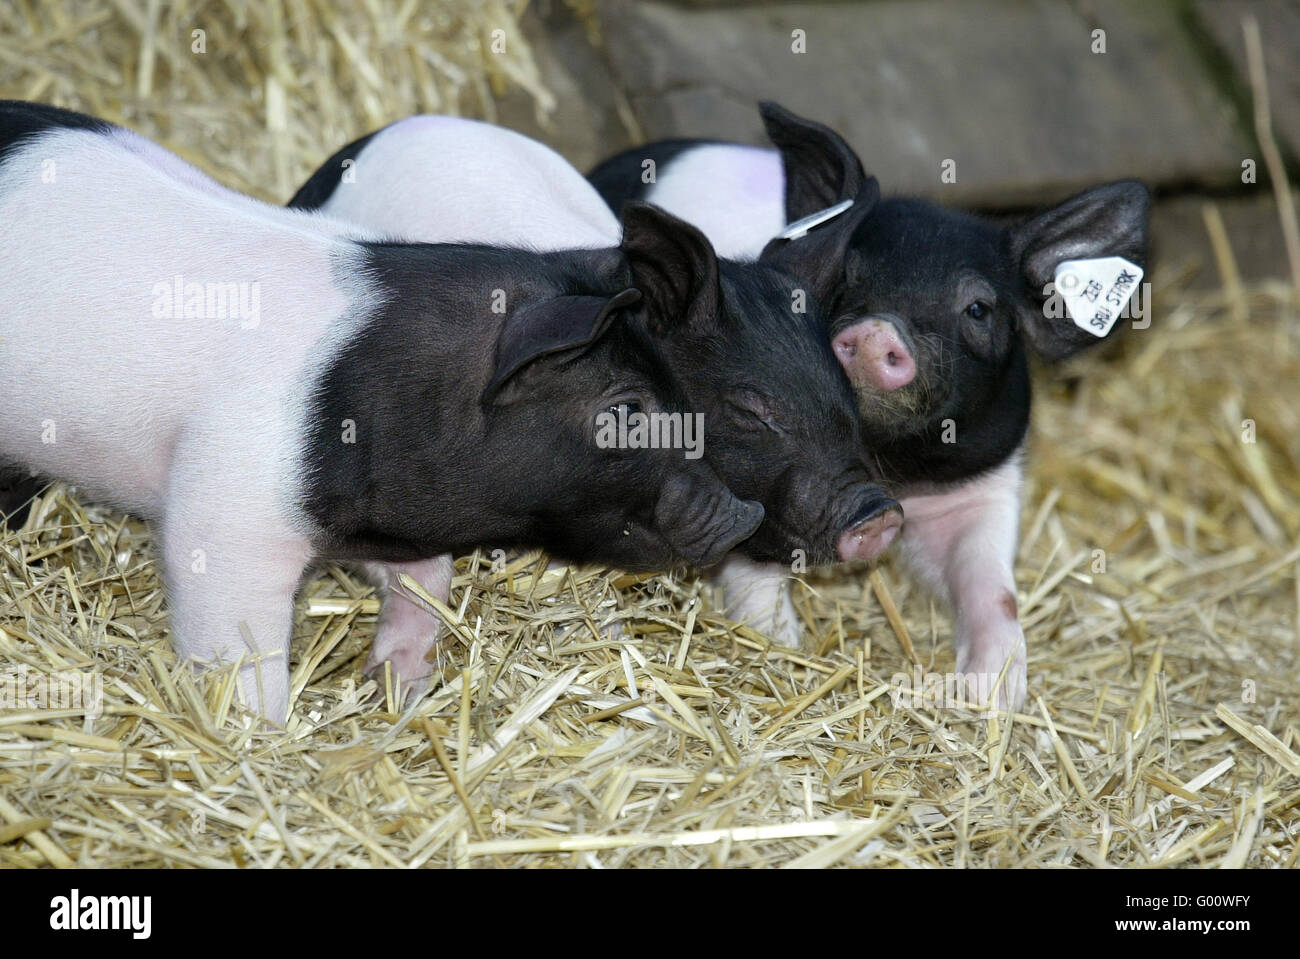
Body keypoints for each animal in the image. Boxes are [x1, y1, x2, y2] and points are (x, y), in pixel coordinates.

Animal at [0, 100, 785, 722]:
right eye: (626, 408)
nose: (745, 512)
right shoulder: (224, 516)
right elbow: (237, 647)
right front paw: (264, 739)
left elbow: (428, 579)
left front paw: (398, 686)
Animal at [588, 102, 1150, 709]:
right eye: (844, 278)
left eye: (978, 308)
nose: (878, 328)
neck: (890, 464)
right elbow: (752, 554)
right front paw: (783, 645)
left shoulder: (983, 481)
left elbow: (994, 583)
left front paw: (992, 696)